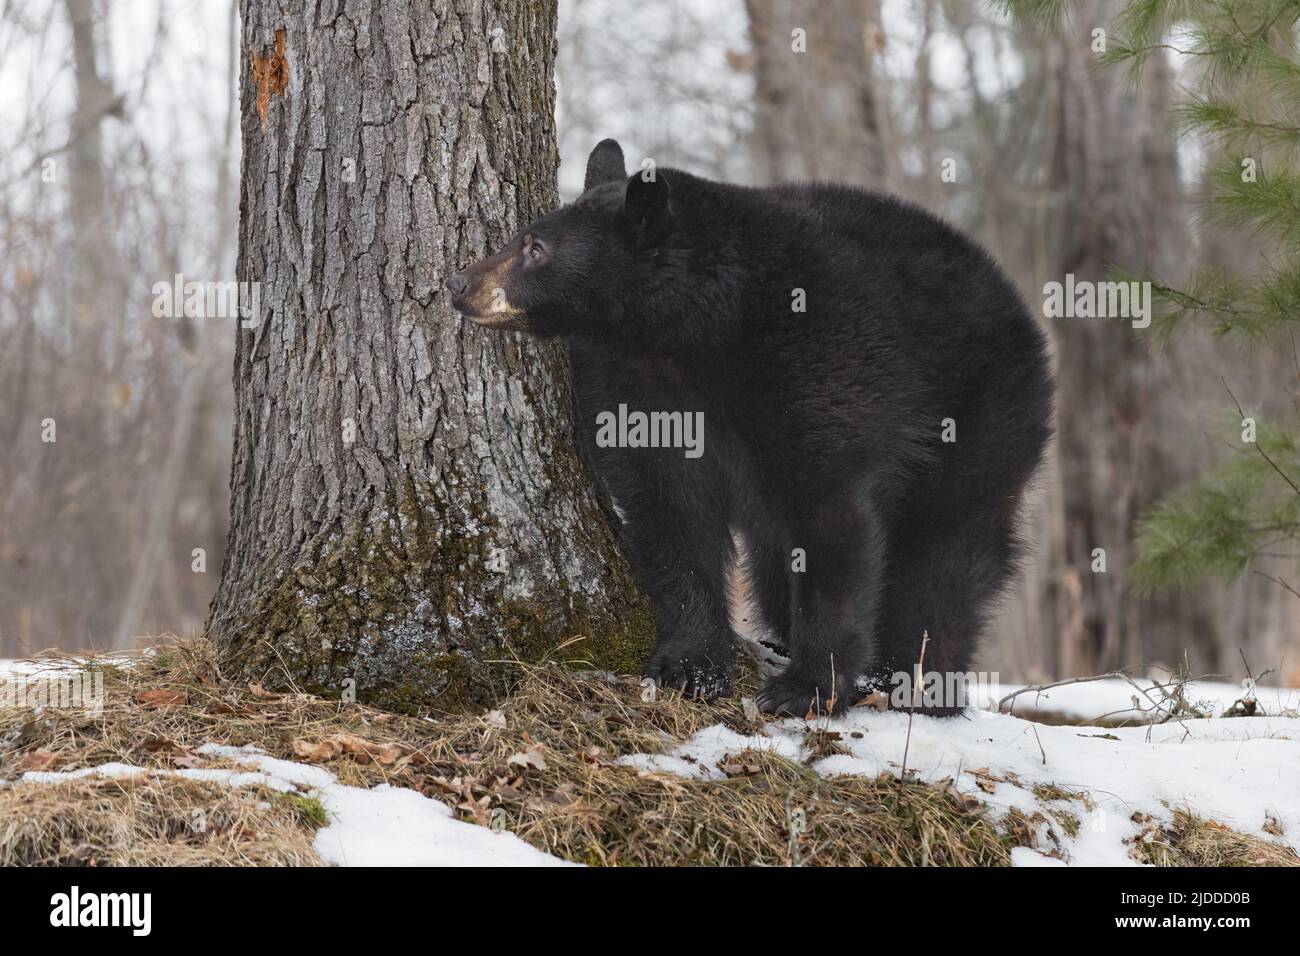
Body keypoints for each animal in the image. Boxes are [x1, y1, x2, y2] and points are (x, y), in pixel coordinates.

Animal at [449, 138, 1053, 717]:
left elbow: (834, 522)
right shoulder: (634, 387)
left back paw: (919, 682)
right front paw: (691, 665)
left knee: (944, 558)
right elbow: (670, 510)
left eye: (535, 248)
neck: (692, 334)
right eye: (520, 237)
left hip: (981, 418)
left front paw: (806, 687)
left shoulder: (820, 369)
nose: (460, 282)